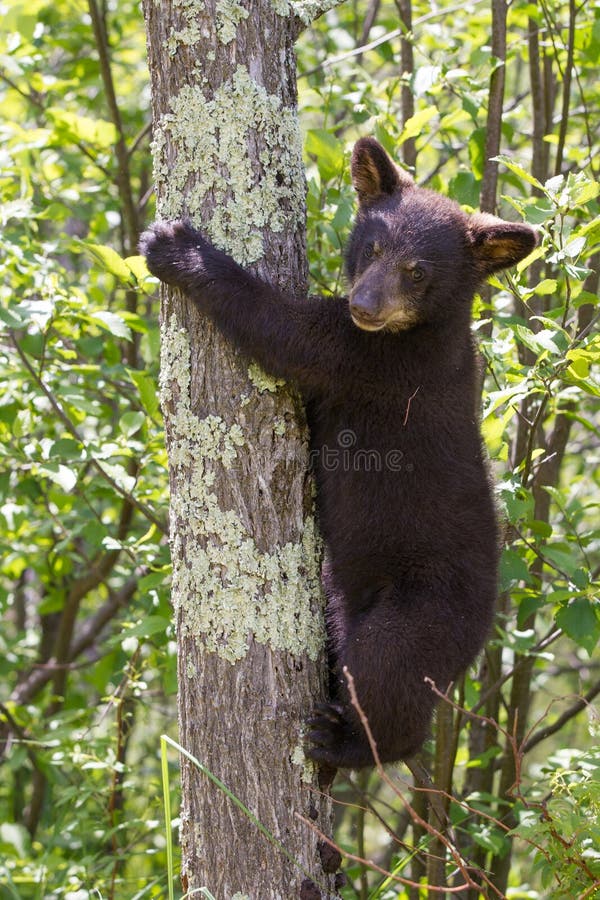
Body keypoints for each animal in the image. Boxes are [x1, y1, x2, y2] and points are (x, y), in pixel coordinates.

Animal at [140, 137, 537, 769]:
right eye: (371, 246)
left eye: (417, 271)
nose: (366, 304)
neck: (421, 330)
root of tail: (485, 630)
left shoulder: (373, 362)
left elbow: (288, 333)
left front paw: (178, 248)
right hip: (337, 593)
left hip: (423, 612)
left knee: (385, 674)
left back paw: (344, 741)